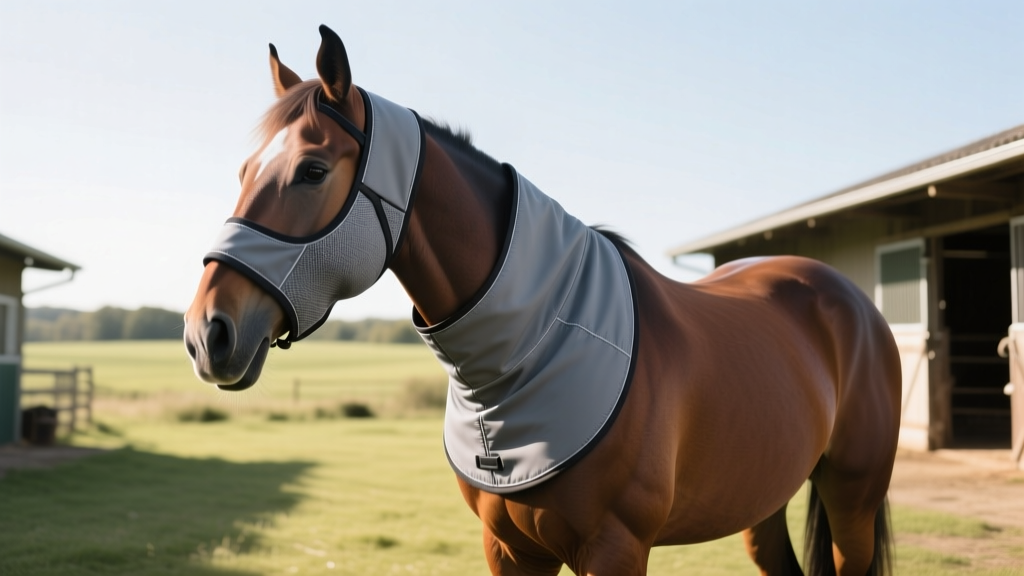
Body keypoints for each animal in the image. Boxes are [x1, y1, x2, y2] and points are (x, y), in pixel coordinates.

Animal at [184, 25, 901, 575]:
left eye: (311, 170)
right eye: (245, 171)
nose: (206, 334)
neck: (540, 337)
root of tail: (847, 299)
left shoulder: (615, 548)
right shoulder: (508, 549)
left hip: (853, 498)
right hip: (762, 500)